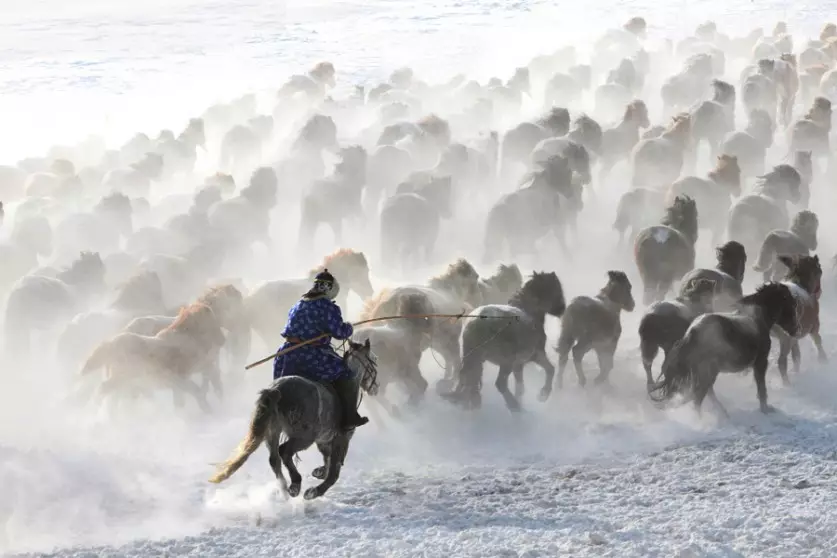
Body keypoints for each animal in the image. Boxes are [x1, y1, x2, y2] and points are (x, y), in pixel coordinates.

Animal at [209, 342, 378, 504]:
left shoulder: (324, 440)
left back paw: (284, 490)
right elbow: (333, 471)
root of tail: (276, 390)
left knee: (274, 459)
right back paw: (295, 485)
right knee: (284, 451)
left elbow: (327, 460)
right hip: (304, 437)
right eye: (374, 360)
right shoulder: (341, 439)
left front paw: (319, 472)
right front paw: (314, 492)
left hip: (272, 431)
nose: (376, 388)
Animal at [438, 274, 568, 414]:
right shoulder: (535, 356)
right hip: (506, 363)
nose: (562, 309)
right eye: (556, 288)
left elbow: (521, 387)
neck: (530, 313)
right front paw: (543, 395)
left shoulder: (519, 365)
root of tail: (479, 321)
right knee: (500, 383)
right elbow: (550, 369)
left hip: (474, 357)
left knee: (465, 377)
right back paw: (514, 406)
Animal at [648, 284, 800, 420]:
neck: (758, 318)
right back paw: (701, 421)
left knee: (702, 394)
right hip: (708, 371)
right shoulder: (760, 362)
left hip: (704, 371)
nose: (795, 330)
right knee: (698, 396)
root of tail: (692, 332)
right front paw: (765, 409)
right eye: (789, 303)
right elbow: (761, 388)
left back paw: (719, 413)